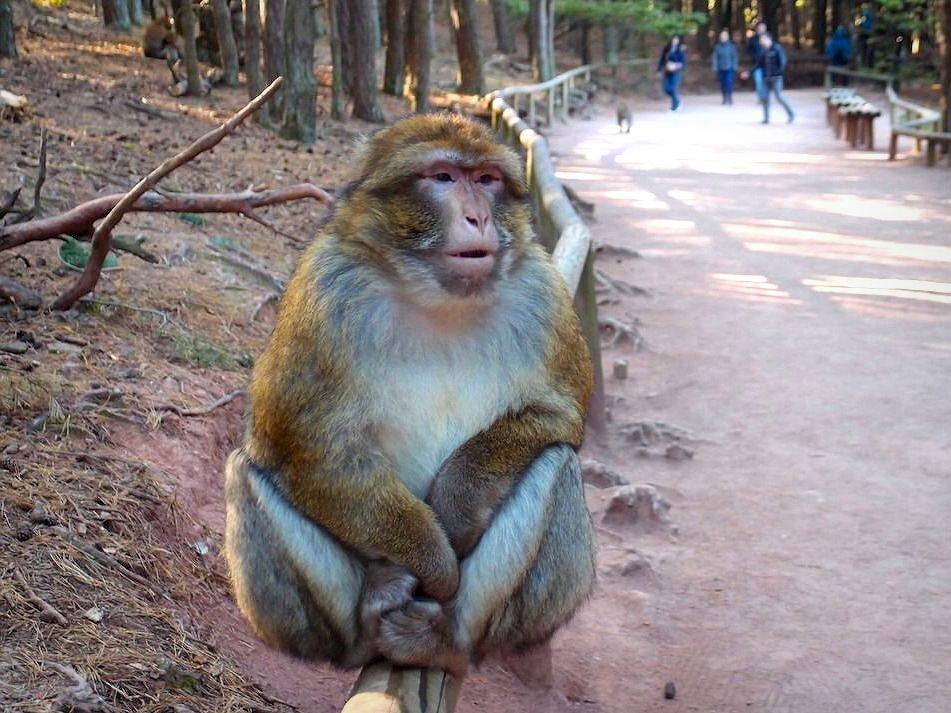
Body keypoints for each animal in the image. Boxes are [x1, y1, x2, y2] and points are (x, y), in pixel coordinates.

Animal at [224, 114, 597, 677]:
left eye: (486, 179)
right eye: (442, 177)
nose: (477, 217)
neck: (437, 299)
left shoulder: (543, 294)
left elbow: (560, 414)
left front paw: (458, 502)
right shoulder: (325, 288)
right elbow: (299, 442)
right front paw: (434, 558)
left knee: (555, 463)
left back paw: (445, 640)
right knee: (247, 471)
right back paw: (370, 613)